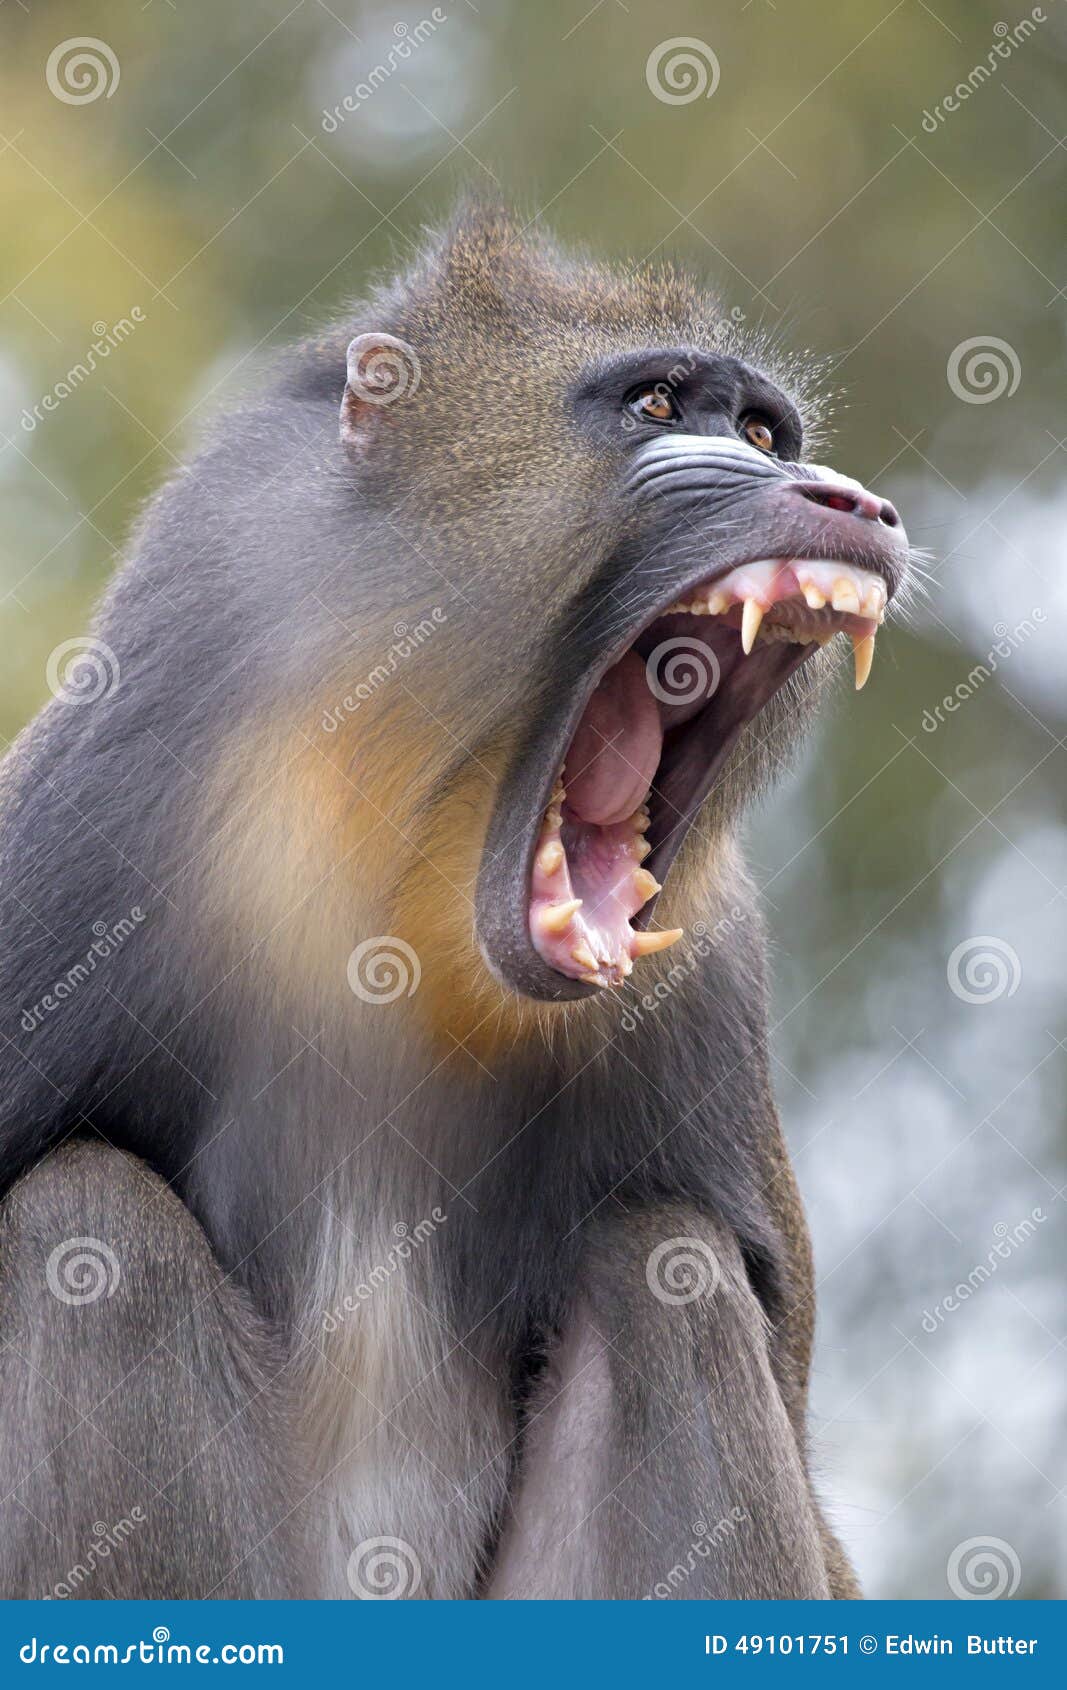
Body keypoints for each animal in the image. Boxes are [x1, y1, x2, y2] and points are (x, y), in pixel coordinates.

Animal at [0, 203, 908, 1600]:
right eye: (656, 405)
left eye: (761, 434)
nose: (848, 503)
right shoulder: (93, 812)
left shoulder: (708, 982)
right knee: (87, 1226)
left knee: (667, 1268)